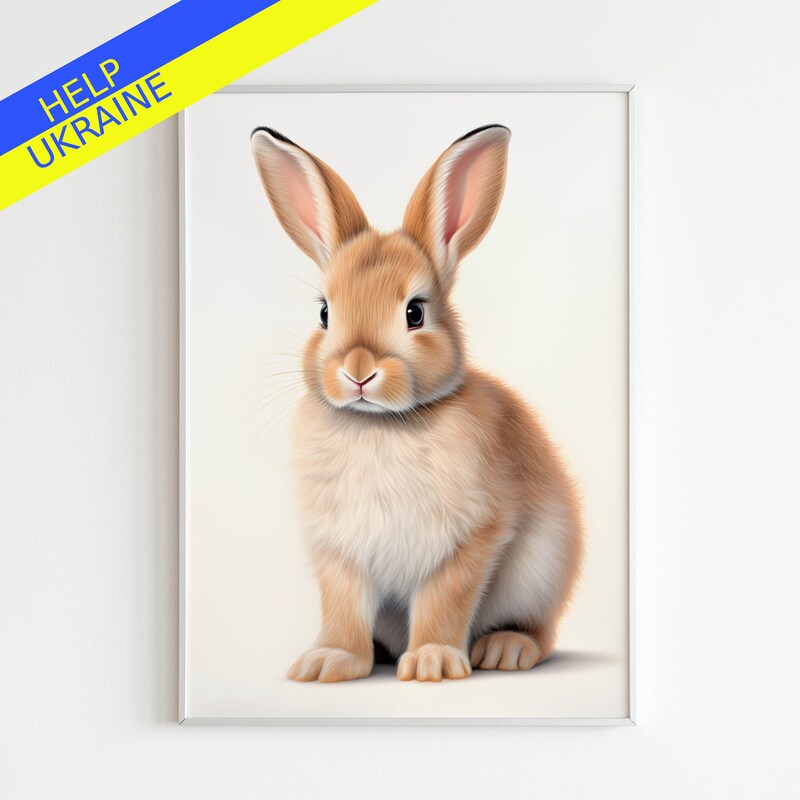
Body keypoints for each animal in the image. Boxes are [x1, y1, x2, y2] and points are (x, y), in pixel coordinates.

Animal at [250, 123, 584, 682]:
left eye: (414, 312)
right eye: (324, 313)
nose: (358, 370)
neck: (380, 425)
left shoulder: (470, 539)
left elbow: (444, 600)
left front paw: (432, 662)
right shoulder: (339, 552)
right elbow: (342, 607)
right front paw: (329, 661)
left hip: (543, 570)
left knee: (542, 630)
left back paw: (505, 649)